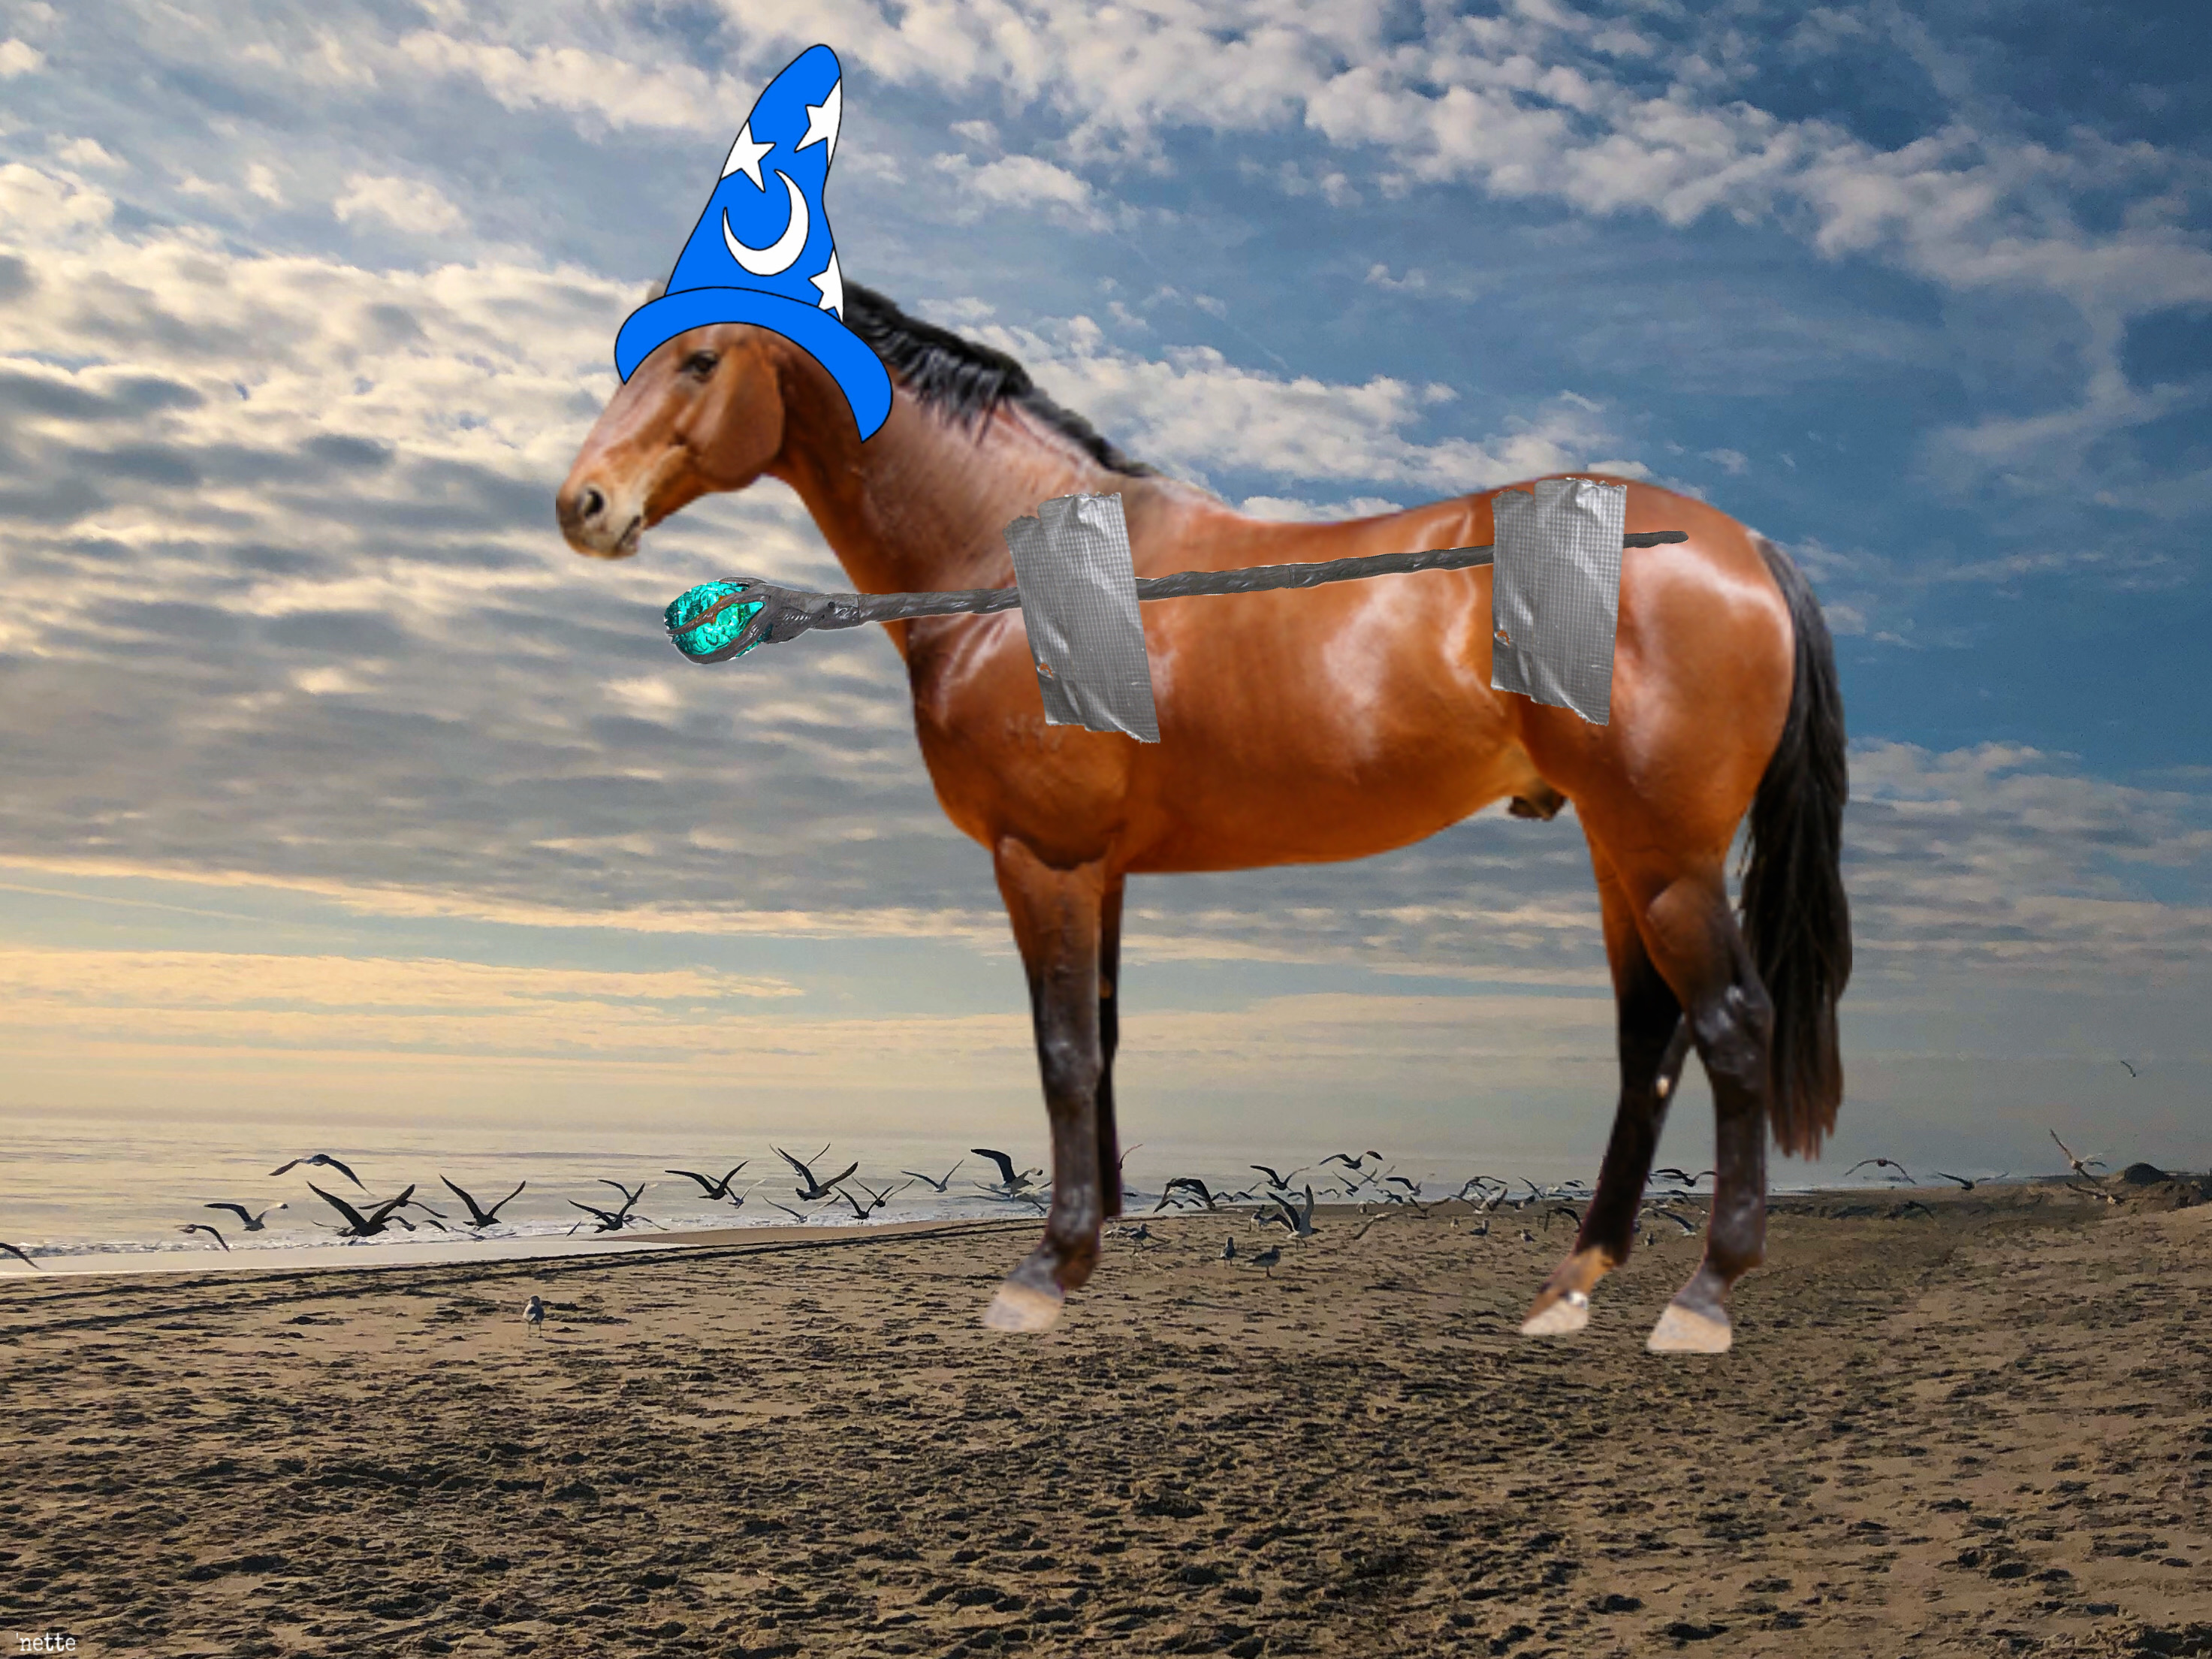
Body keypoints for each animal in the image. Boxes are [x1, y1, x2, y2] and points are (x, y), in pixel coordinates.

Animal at [557, 282, 1851, 1354]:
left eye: (699, 360)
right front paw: (1086, 1251)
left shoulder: (1045, 859)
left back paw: (1701, 1300)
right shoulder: (1104, 871)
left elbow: (1062, 1053)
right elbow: (1103, 1042)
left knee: (1732, 1026)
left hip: (1666, 853)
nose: (583, 505)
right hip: (1618, 848)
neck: (1018, 560)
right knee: (1649, 1045)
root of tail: (1744, 546)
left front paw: (1039, 1274)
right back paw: (1570, 1285)